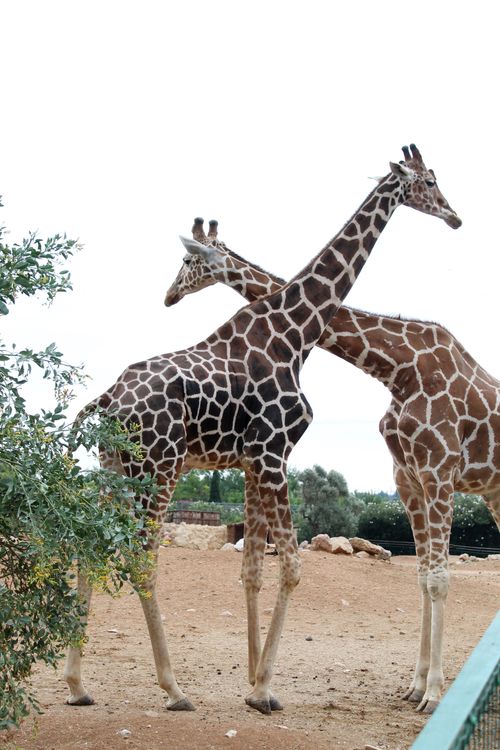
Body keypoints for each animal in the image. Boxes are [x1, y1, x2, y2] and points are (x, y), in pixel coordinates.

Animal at [65, 145, 461, 715]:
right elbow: (292, 566)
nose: (454, 216)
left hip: (113, 466)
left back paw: (77, 685)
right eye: (429, 180)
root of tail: (108, 401)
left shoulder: (252, 460)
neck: (294, 335)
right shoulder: (275, 454)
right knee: (140, 558)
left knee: (90, 548)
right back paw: (174, 689)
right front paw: (265, 688)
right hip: (158, 465)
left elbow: (253, 566)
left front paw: (253, 682)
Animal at [164, 222, 500, 714]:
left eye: (188, 260)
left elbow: (438, 579)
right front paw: (415, 686)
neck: (397, 368)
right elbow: (422, 577)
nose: (168, 296)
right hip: (494, 491)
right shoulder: (408, 478)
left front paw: (434, 694)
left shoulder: (439, 472)